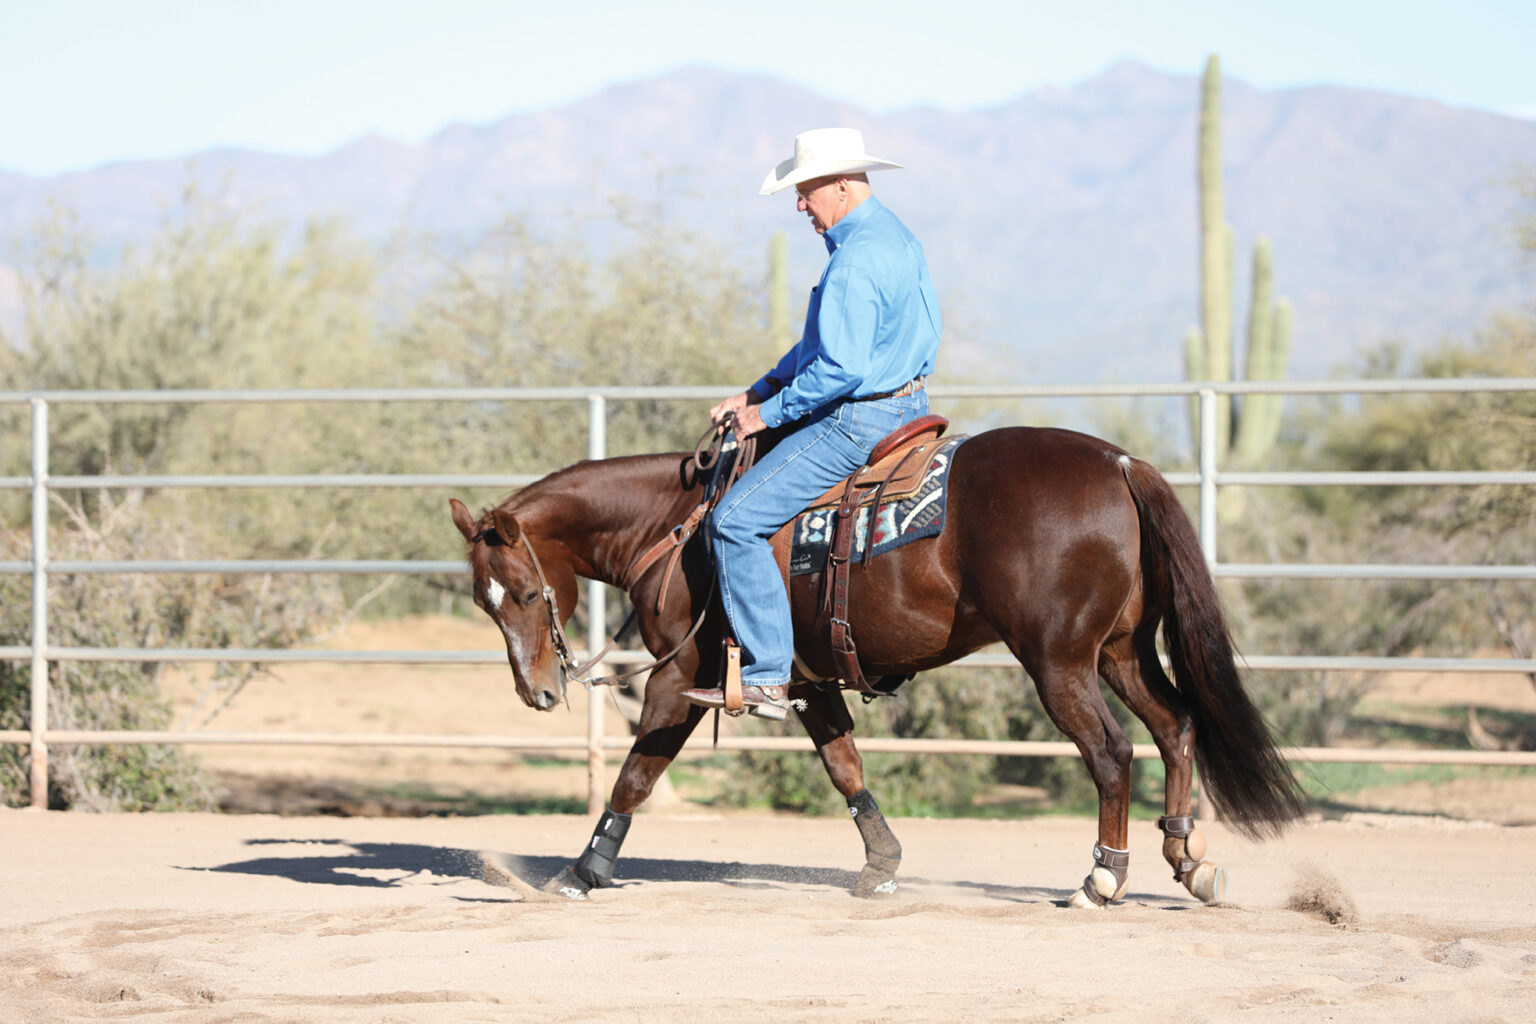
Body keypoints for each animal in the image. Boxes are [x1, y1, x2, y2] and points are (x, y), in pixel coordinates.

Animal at [448, 423, 1305, 907]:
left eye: (521, 591)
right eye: (482, 601)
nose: (537, 692)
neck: (677, 525)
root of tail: (1119, 462)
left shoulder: (680, 675)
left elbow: (636, 773)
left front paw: (580, 870)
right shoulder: (807, 677)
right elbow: (846, 766)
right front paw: (882, 866)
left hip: (1060, 661)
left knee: (1112, 752)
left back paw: (1104, 877)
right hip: (1122, 652)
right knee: (1176, 728)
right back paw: (1187, 862)